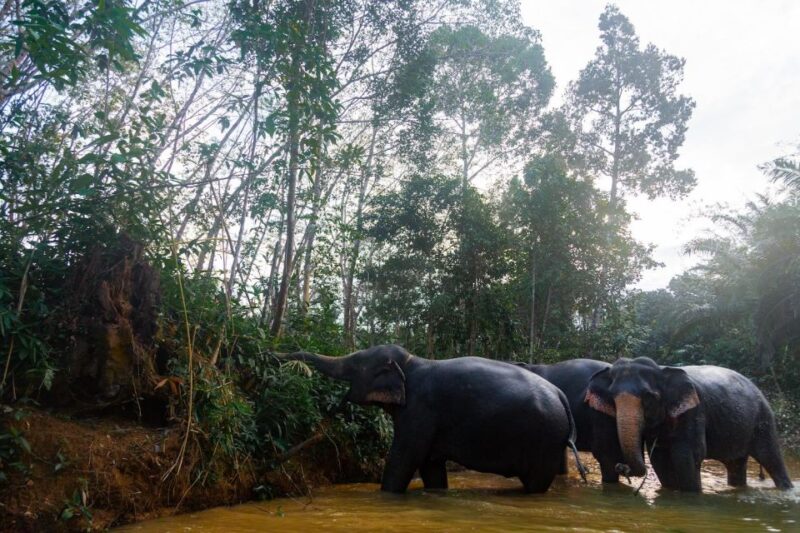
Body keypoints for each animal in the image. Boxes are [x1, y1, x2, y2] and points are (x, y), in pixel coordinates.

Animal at [282, 344, 585, 493]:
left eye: (355, 364)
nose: (281, 357)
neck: (411, 362)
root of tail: (561, 396)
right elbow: (430, 466)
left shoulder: (420, 410)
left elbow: (405, 458)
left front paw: (387, 496)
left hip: (545, 439)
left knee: (535, 483)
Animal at [585, 356, 794, 491]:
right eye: (612, 397)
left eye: (648, 397)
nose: (621, 467)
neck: (662, 369)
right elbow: (660, 457)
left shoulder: (694, 411)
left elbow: (686, 454)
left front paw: (690, 496)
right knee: (736, 464)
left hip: (763, 418)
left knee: (771, 457)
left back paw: (786, 489)